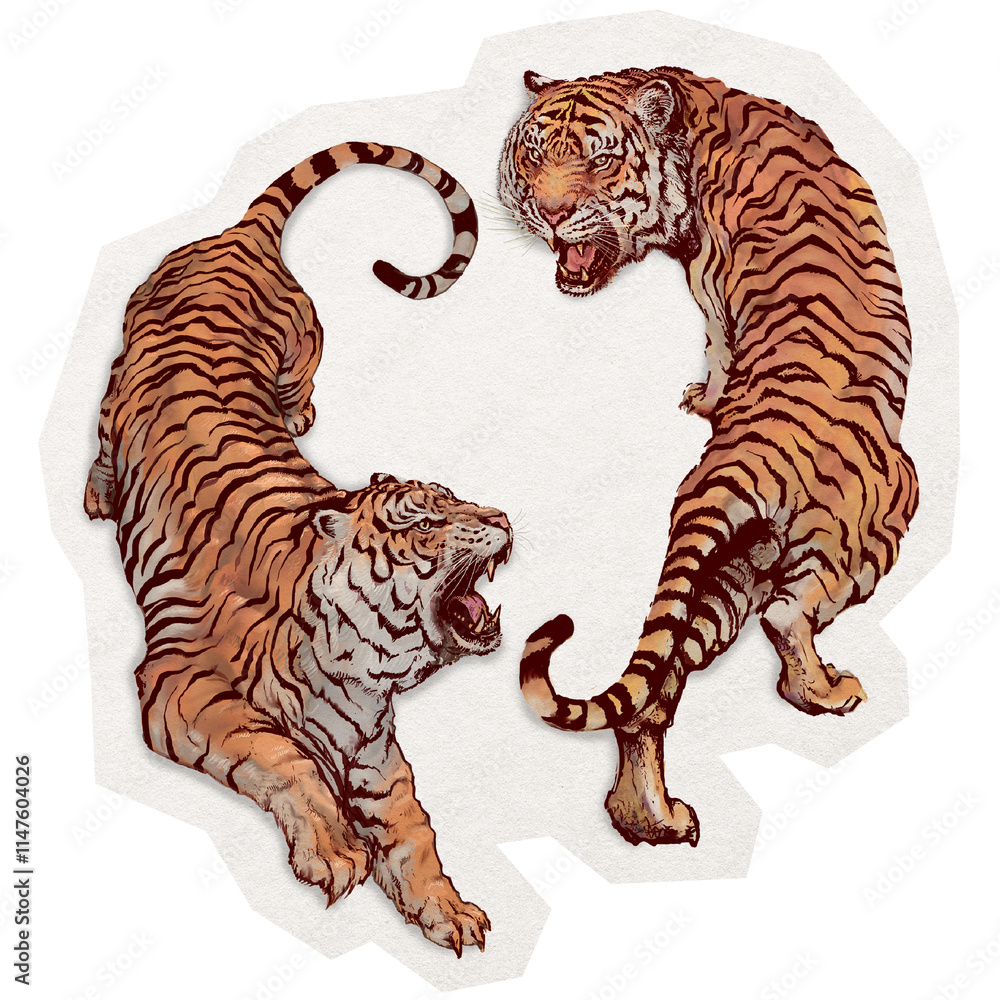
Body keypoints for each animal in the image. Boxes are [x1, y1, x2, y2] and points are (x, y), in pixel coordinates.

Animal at [84, 141, 510, 955]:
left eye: (461, 498)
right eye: (423, 522)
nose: (505, 517)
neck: (366, 672)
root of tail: (239, 234)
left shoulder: (377, 758)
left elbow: (414, 831)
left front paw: (449, 912)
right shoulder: (180, 683)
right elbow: (285, 758)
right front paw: (337, 855)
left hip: (301, 347)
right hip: (128, 368)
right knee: (102, 432)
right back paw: (98, 493)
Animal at [498, 67, 919, 846]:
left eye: (600, 159)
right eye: (533, 156)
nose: (548, 212)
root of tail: (737, 464)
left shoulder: (708, 280)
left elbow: (717, 344)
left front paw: (702, 398)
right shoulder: (710, 286)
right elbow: (720, 346)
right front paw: (709, 393)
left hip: (725, 576)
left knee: (652, 693)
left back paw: (648, 820)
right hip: (866, 530)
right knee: (787, 619)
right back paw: (827, 694)